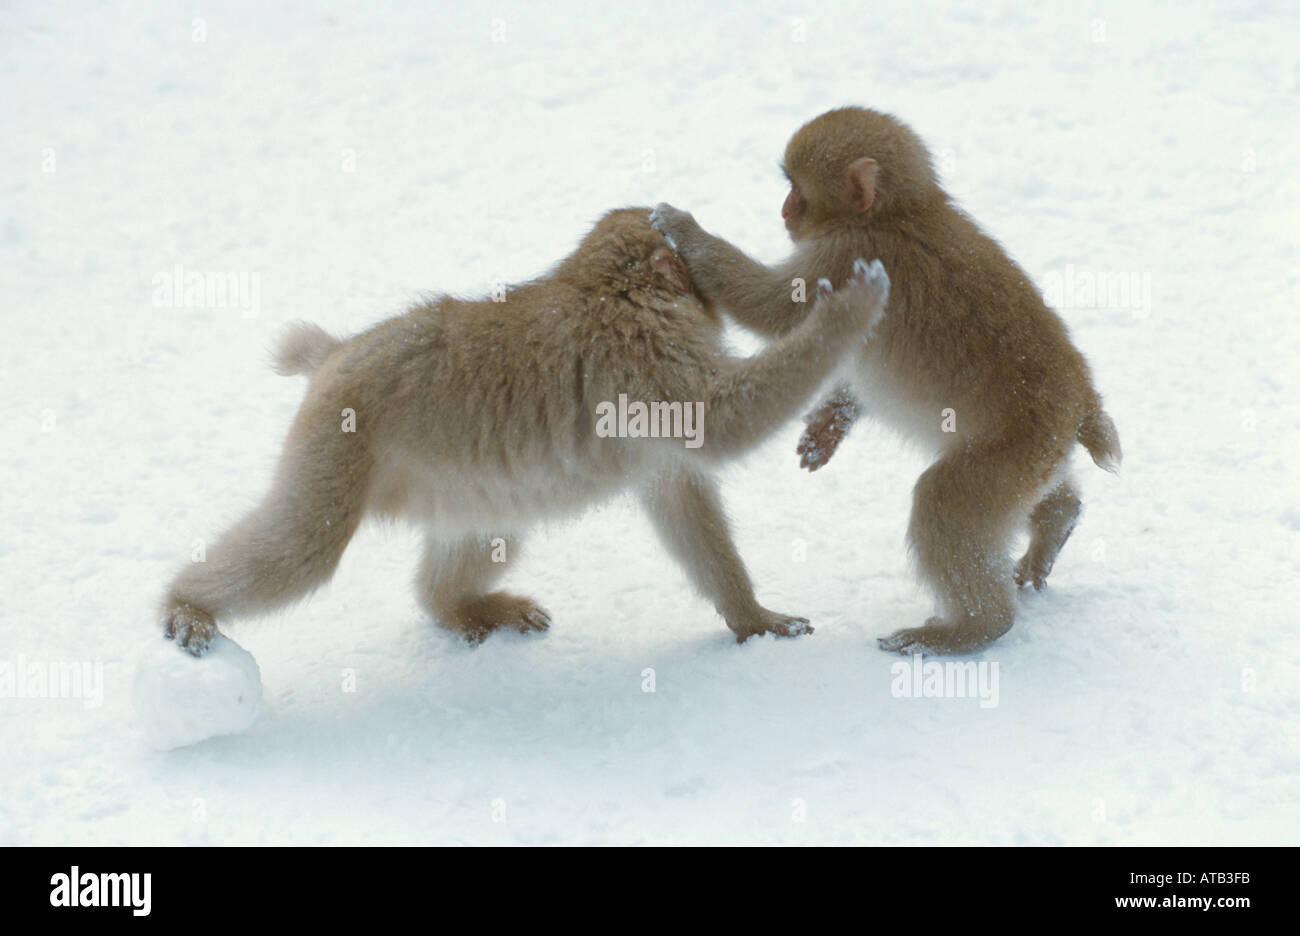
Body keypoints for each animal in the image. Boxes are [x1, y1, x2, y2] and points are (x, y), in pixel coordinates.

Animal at [159, 208, 891, 656]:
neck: (613, 288)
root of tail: (339, 350)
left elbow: (677, 491)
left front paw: (751, 618)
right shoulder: (650, 360)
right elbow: (720, 423)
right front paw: (849, 312)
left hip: (449, 480)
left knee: (492, 529)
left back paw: (456, 606)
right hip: (338, 441)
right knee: (303, 545)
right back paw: (187, 604)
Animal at [651, 107, 1121, 655]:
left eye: (796, 189)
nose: (784, 212)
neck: (896, 213)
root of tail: (1081, 397)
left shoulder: (846, 253)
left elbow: (775, 309)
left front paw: (683, 228)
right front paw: (831, 421)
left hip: (1013, 448)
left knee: (943, 503)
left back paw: (970, 629)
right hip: (1038, 455)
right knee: (1041, 499)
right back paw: (1057, 522)